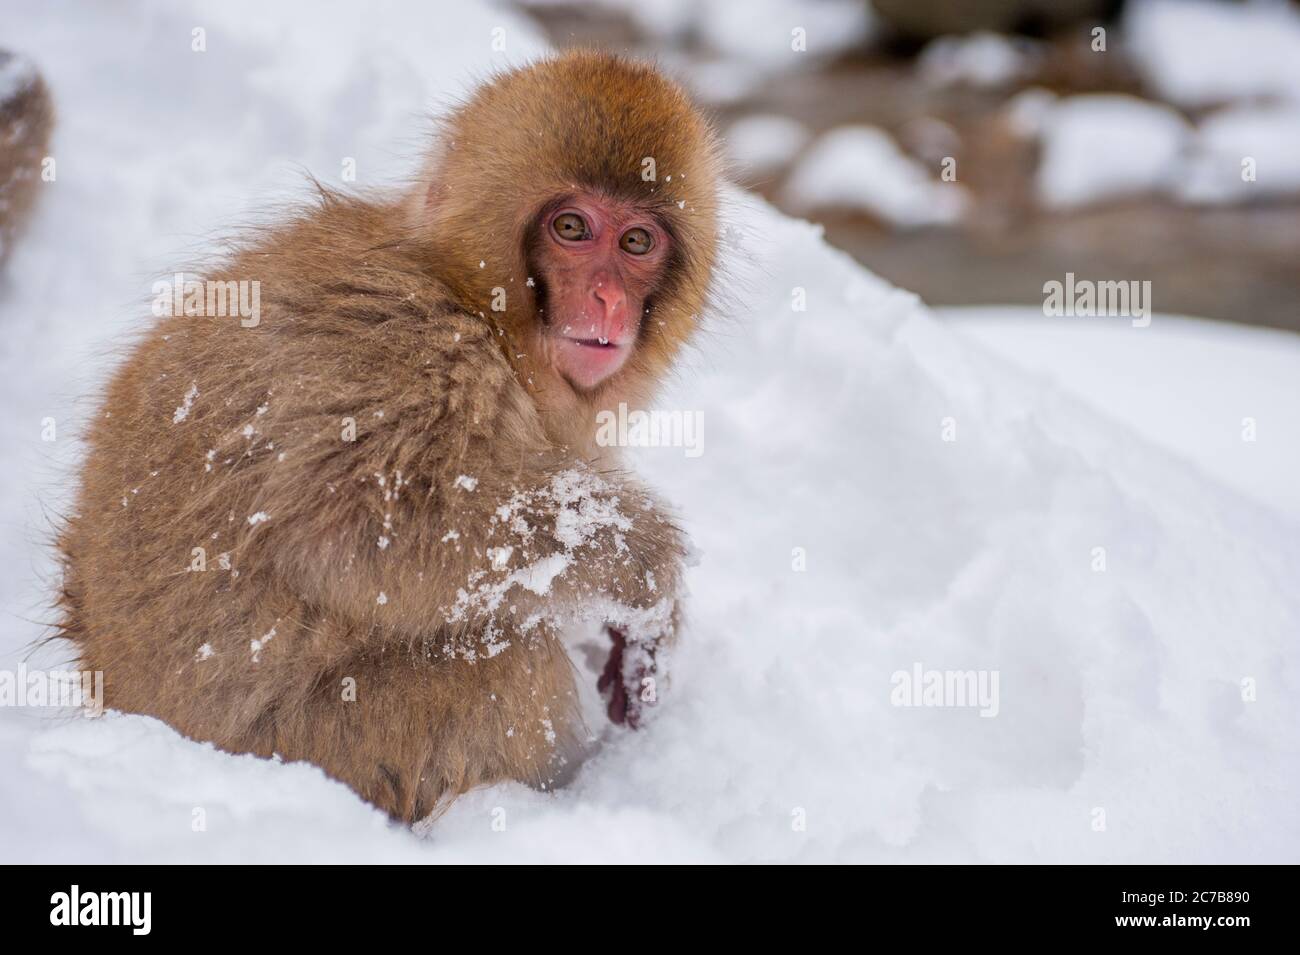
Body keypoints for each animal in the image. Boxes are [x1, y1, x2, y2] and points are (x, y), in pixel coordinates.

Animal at [56, 51, 722, 823]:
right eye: (573, 227)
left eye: (637, 241)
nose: (609, 300)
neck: (480, 307)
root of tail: (109, 689)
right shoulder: (415, 353)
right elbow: (364, 527)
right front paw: (641, 561)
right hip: (315, 740)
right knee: (506, 659)